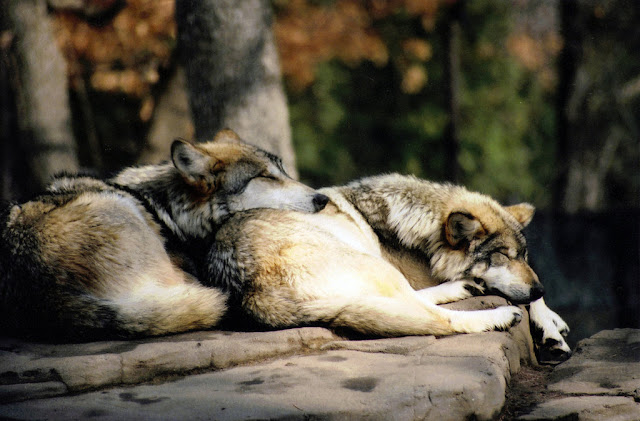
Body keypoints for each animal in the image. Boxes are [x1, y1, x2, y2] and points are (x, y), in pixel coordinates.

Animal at [0, 130, 329, 341]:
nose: (322, 199)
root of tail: (44, 295)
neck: (172, 211)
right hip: (122, 211)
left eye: (284, 172)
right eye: (266, 177)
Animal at [206, 174, 571, 361]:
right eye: (503, 257)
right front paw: (551, 332)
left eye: (523, 255)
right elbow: (523, 298)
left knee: (418, 303)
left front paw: (553, 322)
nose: (540, 287)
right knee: (439, 318)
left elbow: (535, 299)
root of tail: (253, 294)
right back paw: (497, 314)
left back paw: (466, 288)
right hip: (373, 264)